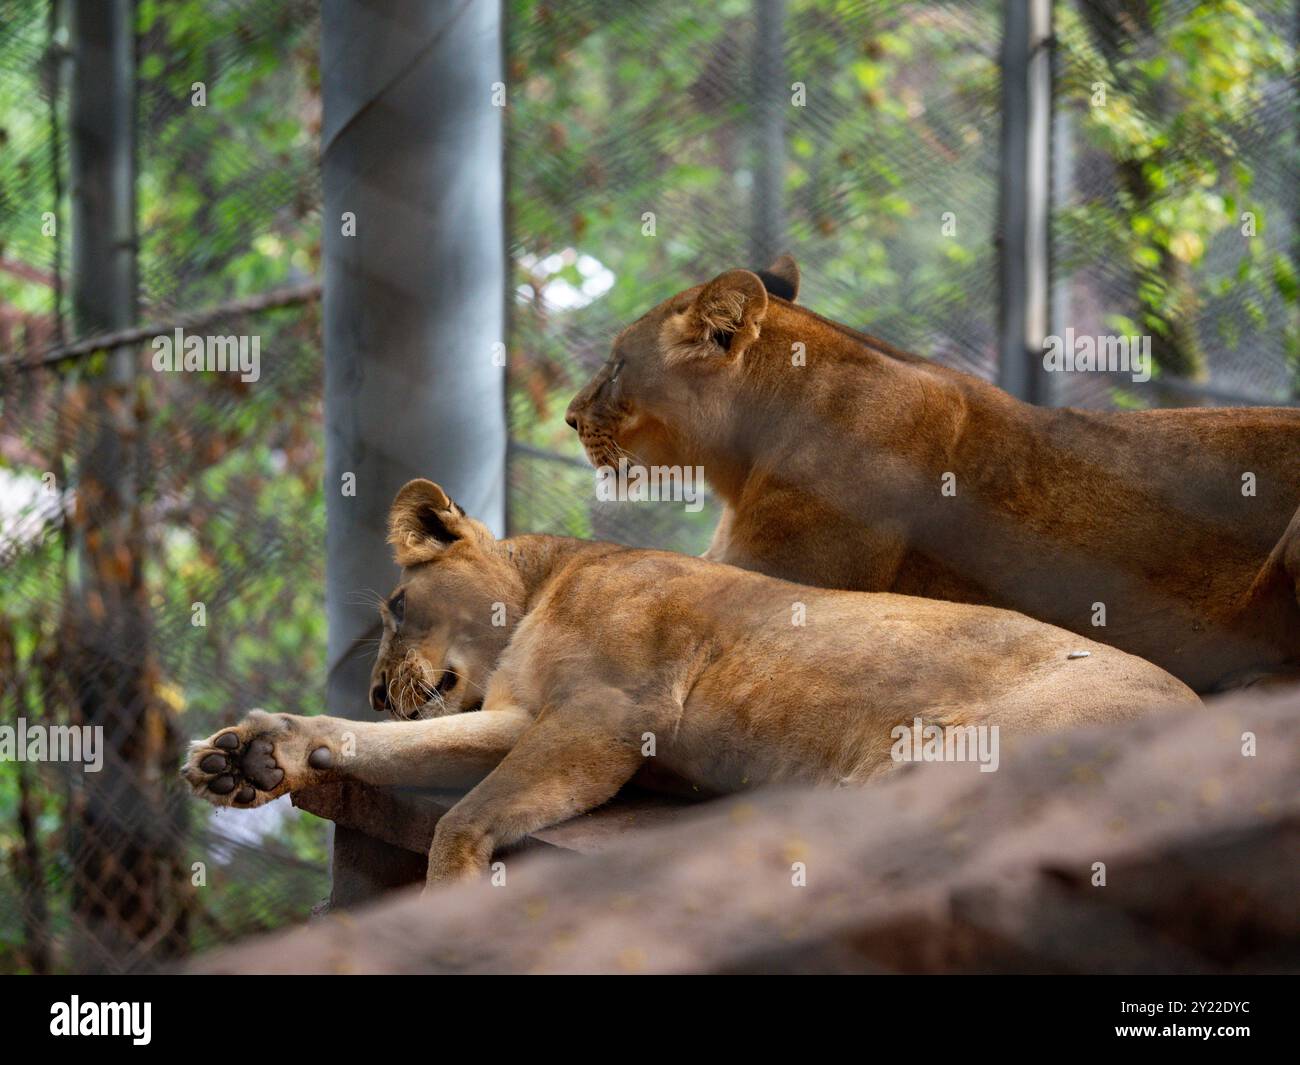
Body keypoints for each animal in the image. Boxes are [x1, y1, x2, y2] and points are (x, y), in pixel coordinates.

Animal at [184, 479, 1198, 887]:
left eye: (396, 602)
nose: (374, 691)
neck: (545, 584)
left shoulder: (610, 710)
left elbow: (462, 819)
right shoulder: (528, 717)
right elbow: (404, 751)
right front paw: (249, 753)